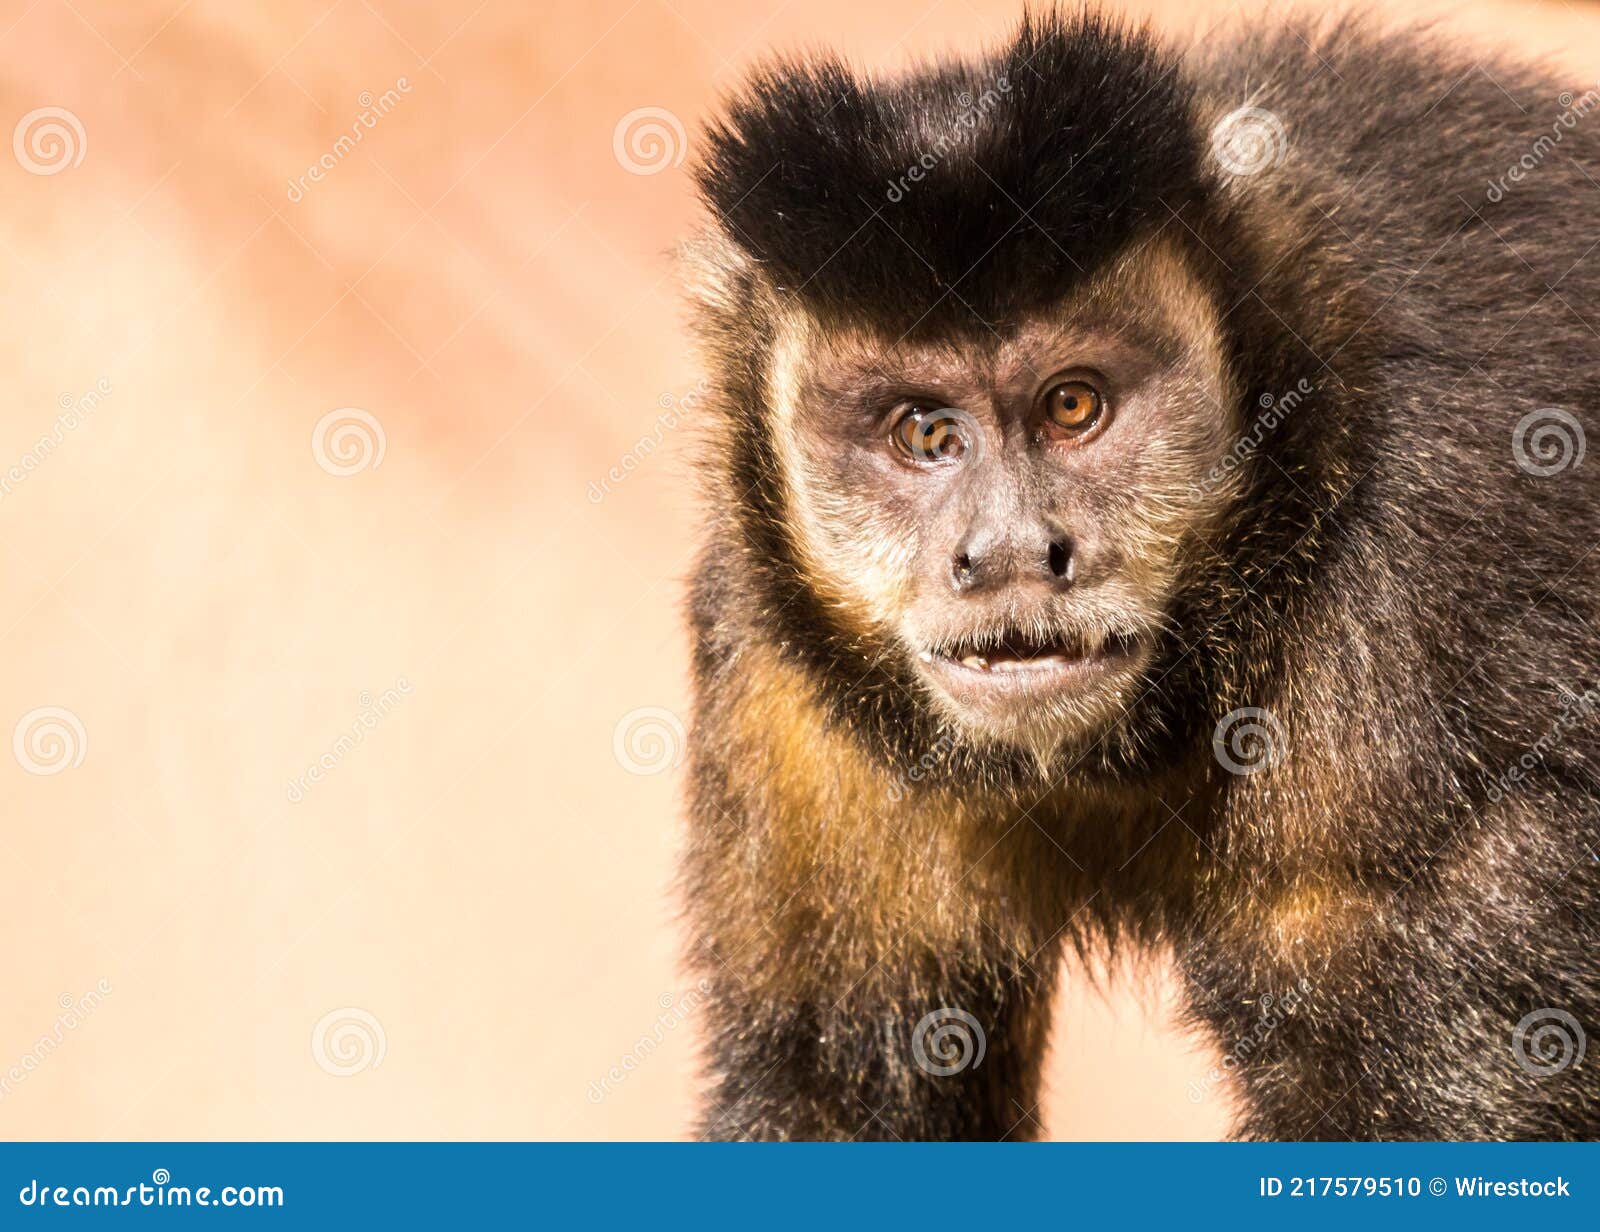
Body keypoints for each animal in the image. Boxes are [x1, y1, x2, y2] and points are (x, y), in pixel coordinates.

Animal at [677, 8, 1600, 1141]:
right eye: (925, 434)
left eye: (1073, 406)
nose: (1011, 553)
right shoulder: (775, 674)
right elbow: (832, 1090)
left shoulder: (1435, 616)